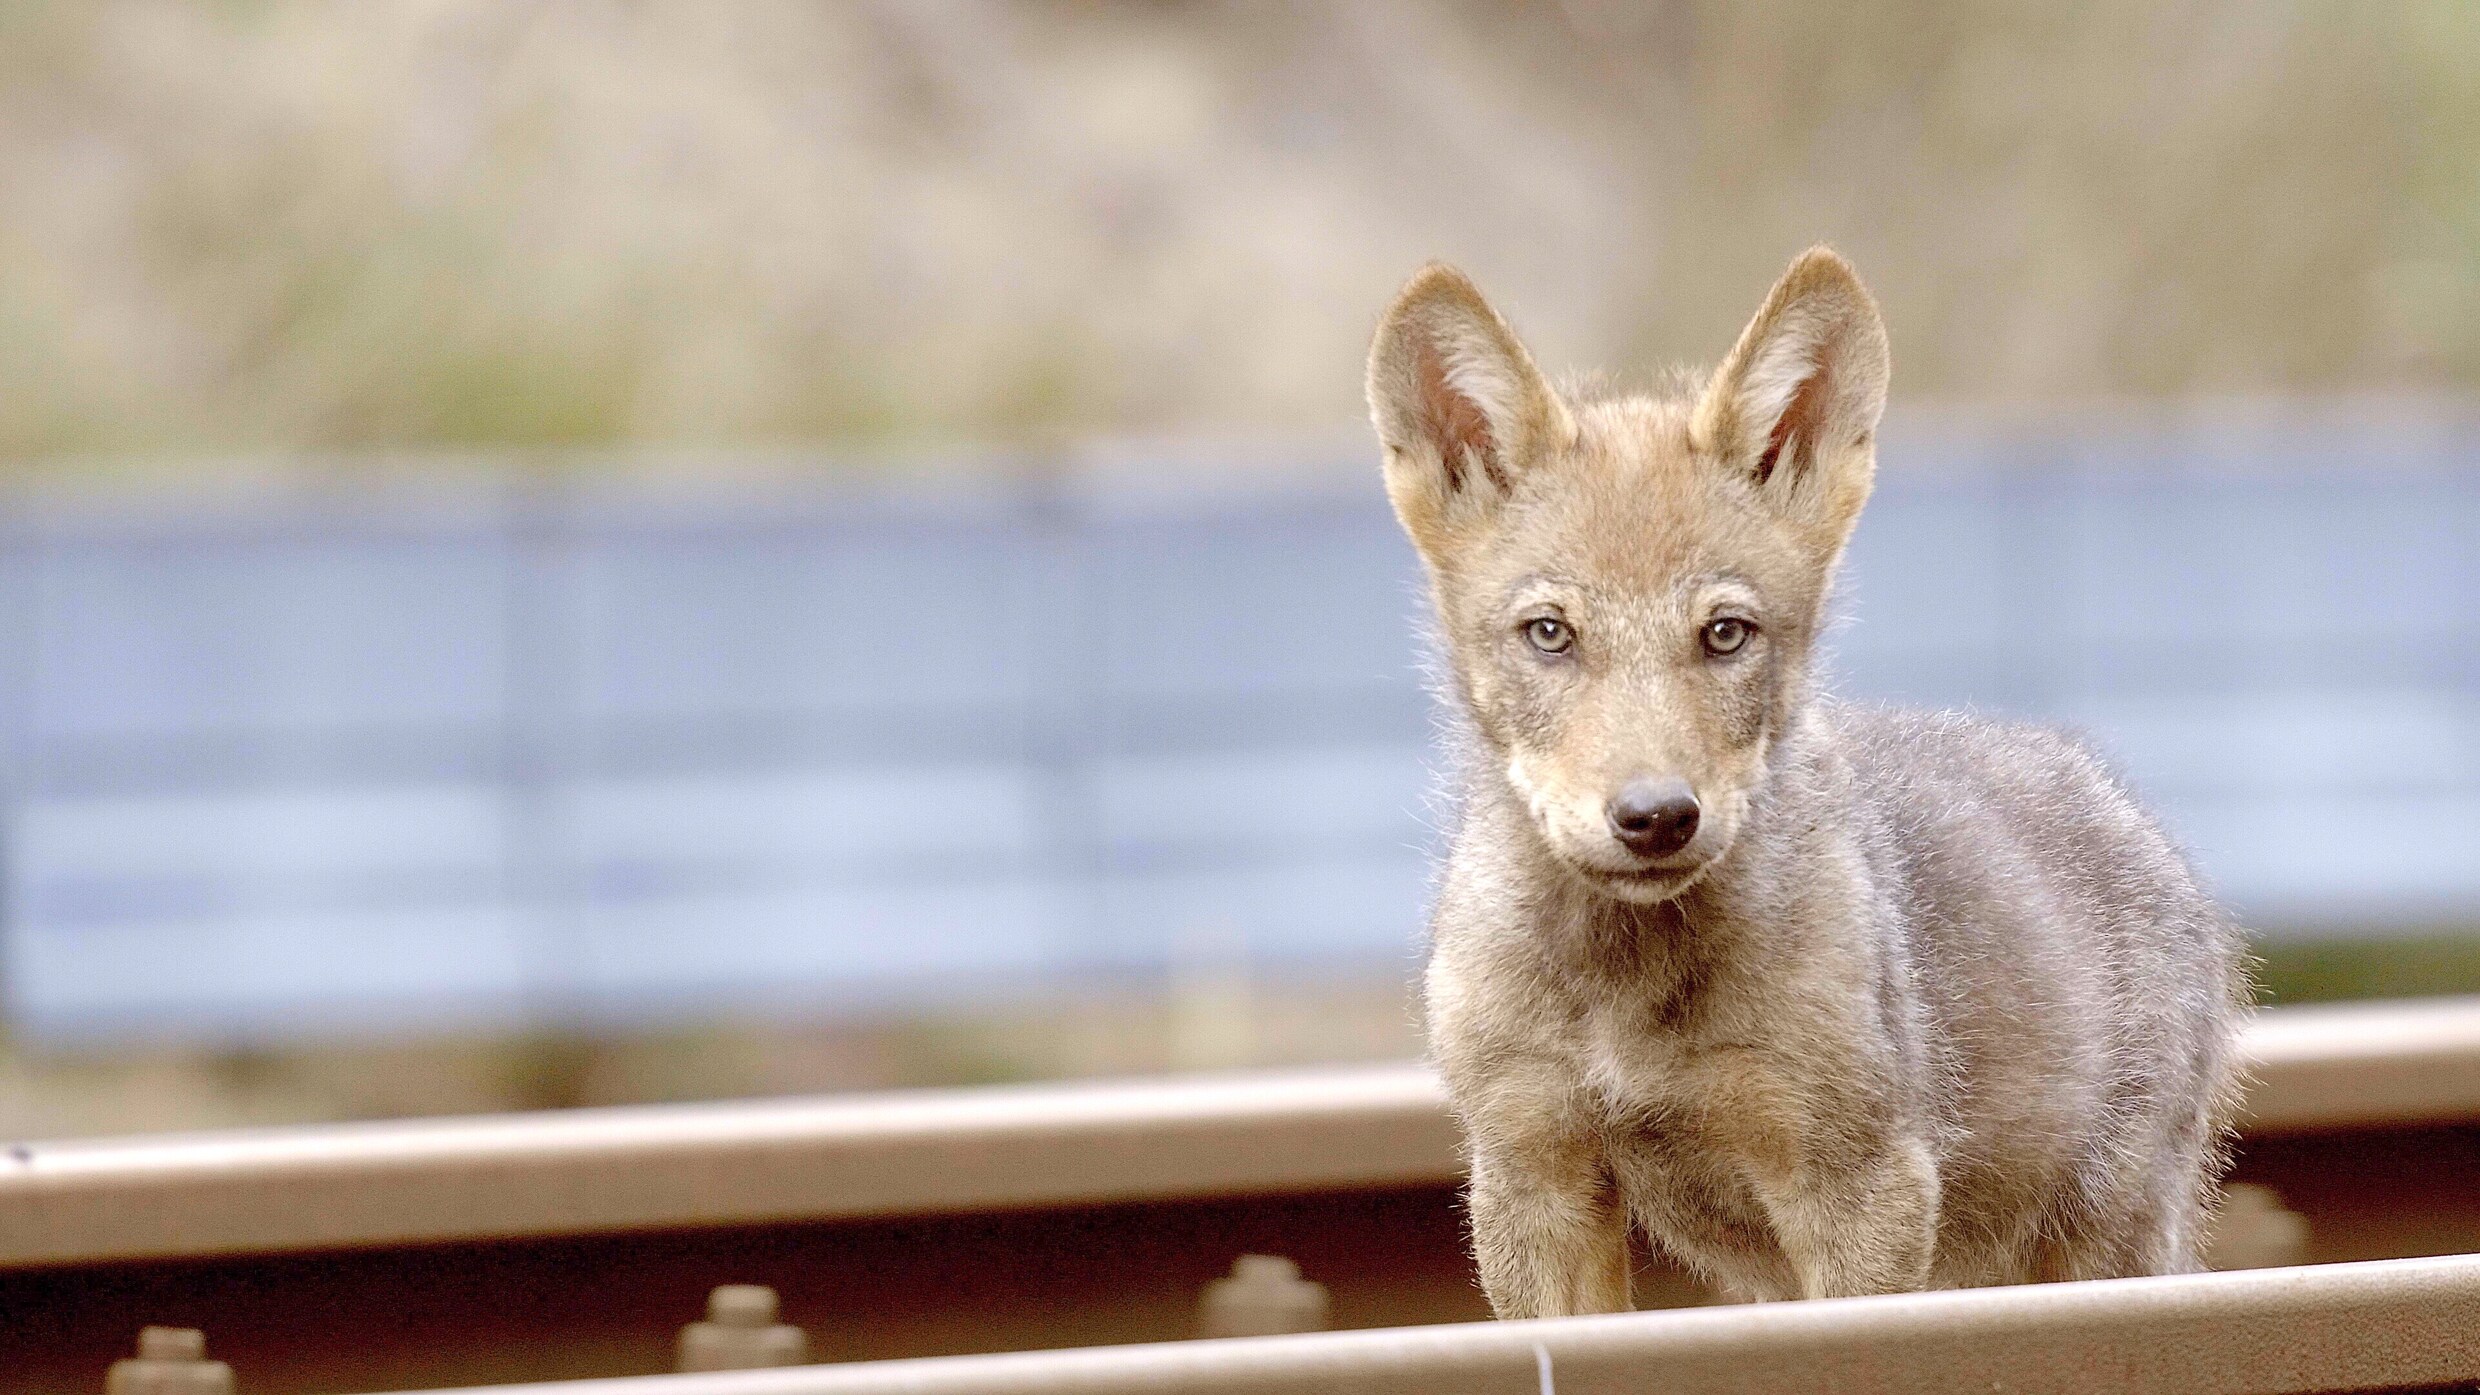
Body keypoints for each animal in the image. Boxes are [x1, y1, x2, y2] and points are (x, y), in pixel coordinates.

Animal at [1366, 248, 2250, 1315]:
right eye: (1549, 633)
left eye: (1726, 633)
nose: (1656, 816)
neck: (1628, 1004)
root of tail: (2123, 804)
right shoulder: (1535, 1171)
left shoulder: (1855, 1186)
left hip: (2101, 1242)